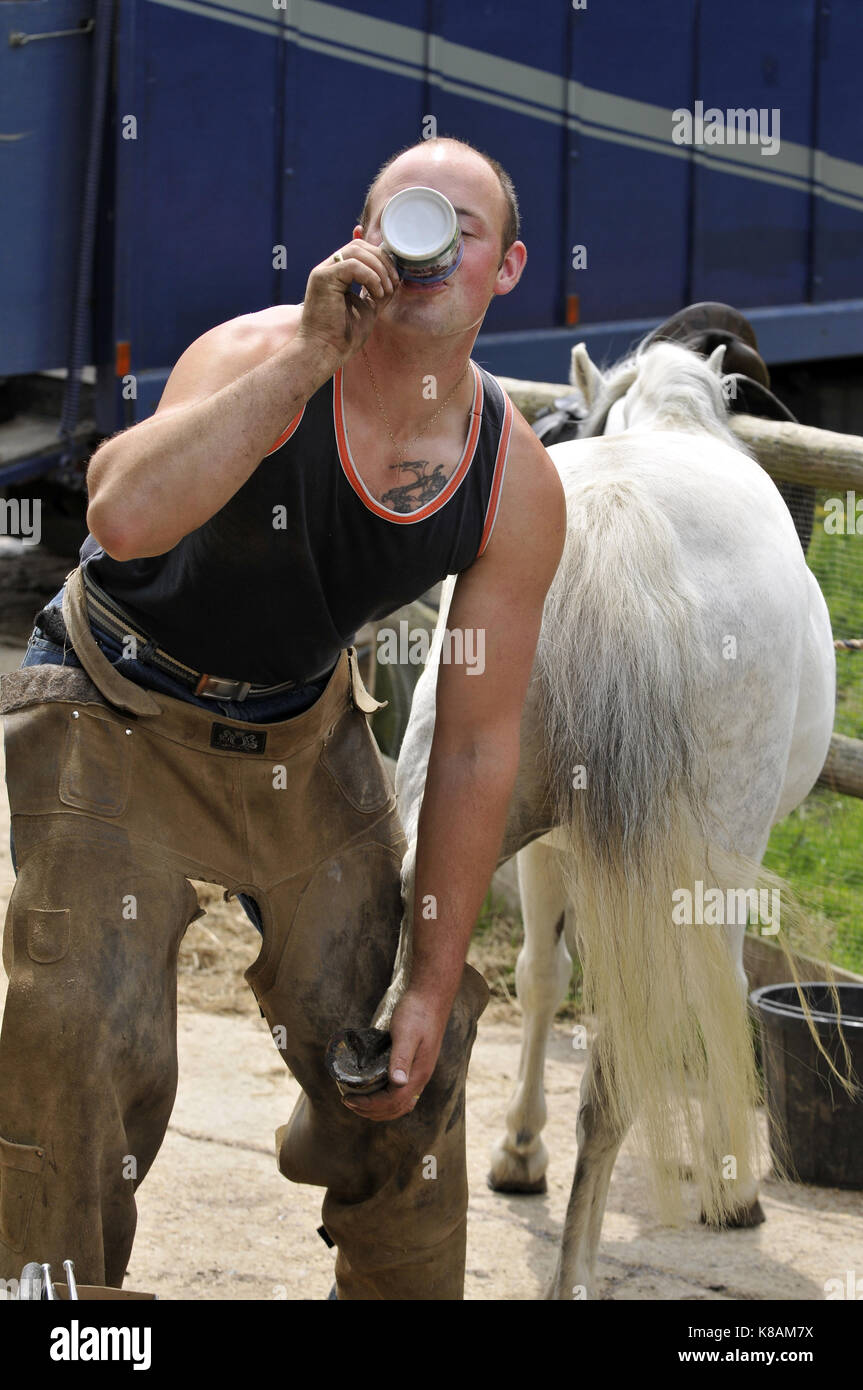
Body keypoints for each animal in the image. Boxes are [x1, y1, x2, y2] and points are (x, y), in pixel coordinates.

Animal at [374, 337, 837, 1299]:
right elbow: (715, 990)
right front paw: (730, 1183)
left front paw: (518, 1151)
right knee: (622, 1061)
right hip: (688, 860)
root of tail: (615, 532)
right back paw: (574, 1269)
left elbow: (543, 976)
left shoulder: (551, 848)